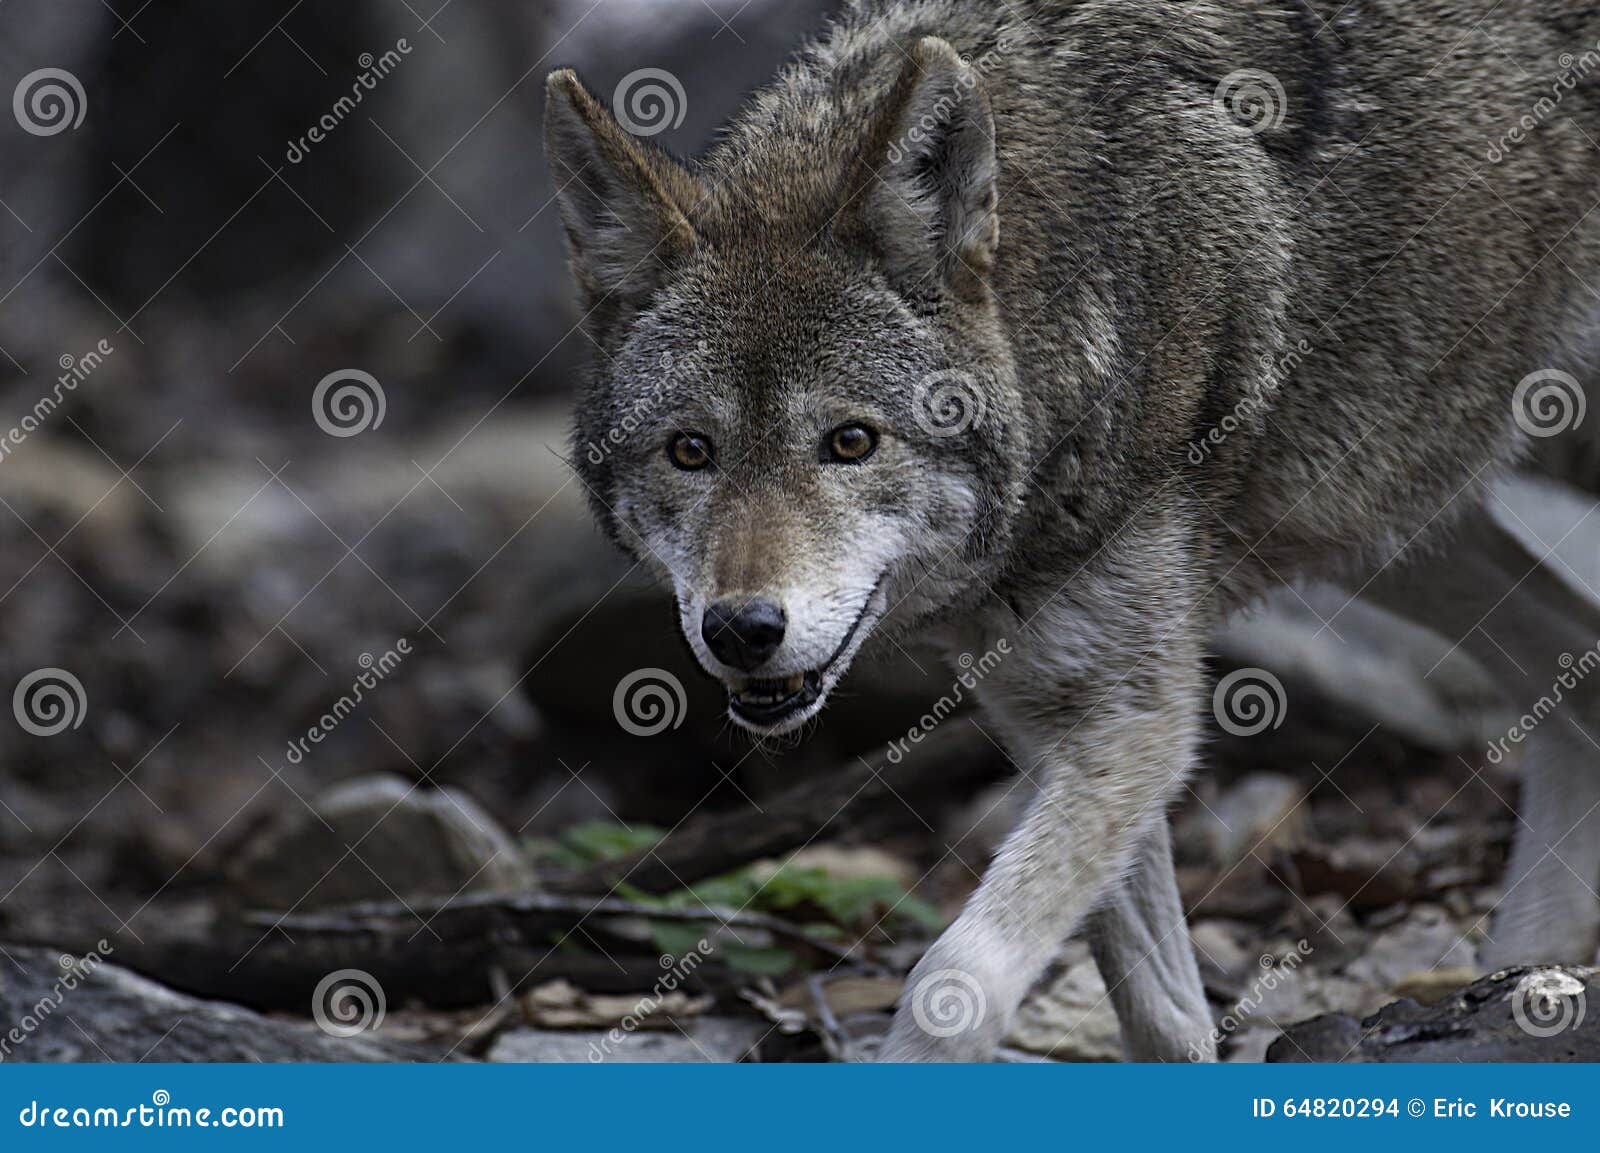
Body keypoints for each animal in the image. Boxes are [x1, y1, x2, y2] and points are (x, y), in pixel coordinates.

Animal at [545, 0, 1600, 1060]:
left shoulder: (1137, 714)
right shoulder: (1054, 712)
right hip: (1391, 523)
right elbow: (1160, 1009)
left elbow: (955, 981)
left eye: (850, 441)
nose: (743, 630)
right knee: (1575, 671)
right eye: (691, 451)